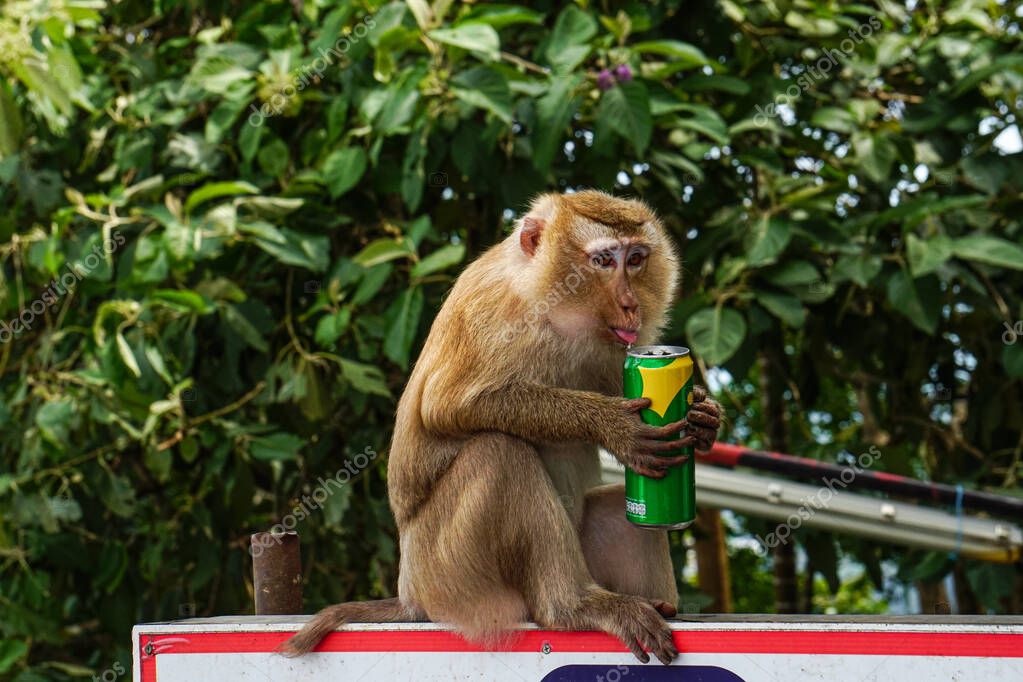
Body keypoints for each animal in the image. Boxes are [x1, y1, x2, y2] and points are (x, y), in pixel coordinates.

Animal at [282, 190, 722, 665]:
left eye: (637, 259)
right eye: (604, 261)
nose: (631, 305)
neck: (551, 309)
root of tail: (410, 592)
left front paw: (702, 416)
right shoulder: (494, 311)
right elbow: (449, 405)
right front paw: (613, 426)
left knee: (626, 520)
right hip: (450, 576)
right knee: (499, 452)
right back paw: (573, 606)